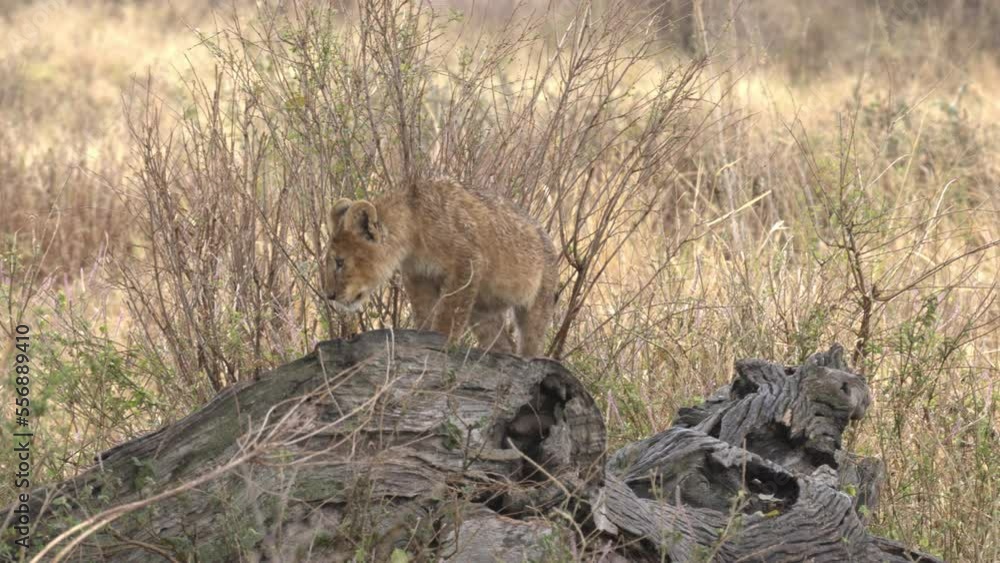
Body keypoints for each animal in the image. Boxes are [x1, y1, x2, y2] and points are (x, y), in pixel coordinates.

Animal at [320, 177, 558, 357]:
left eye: (340, 262)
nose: (330, 295)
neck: (412, 230)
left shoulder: (467, 261)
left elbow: (449, 313)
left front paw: (442, 343)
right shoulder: (419, 277)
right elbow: (425, 313)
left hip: (538, 302)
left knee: (531, 344)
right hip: (481, 313)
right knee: (503, 344)